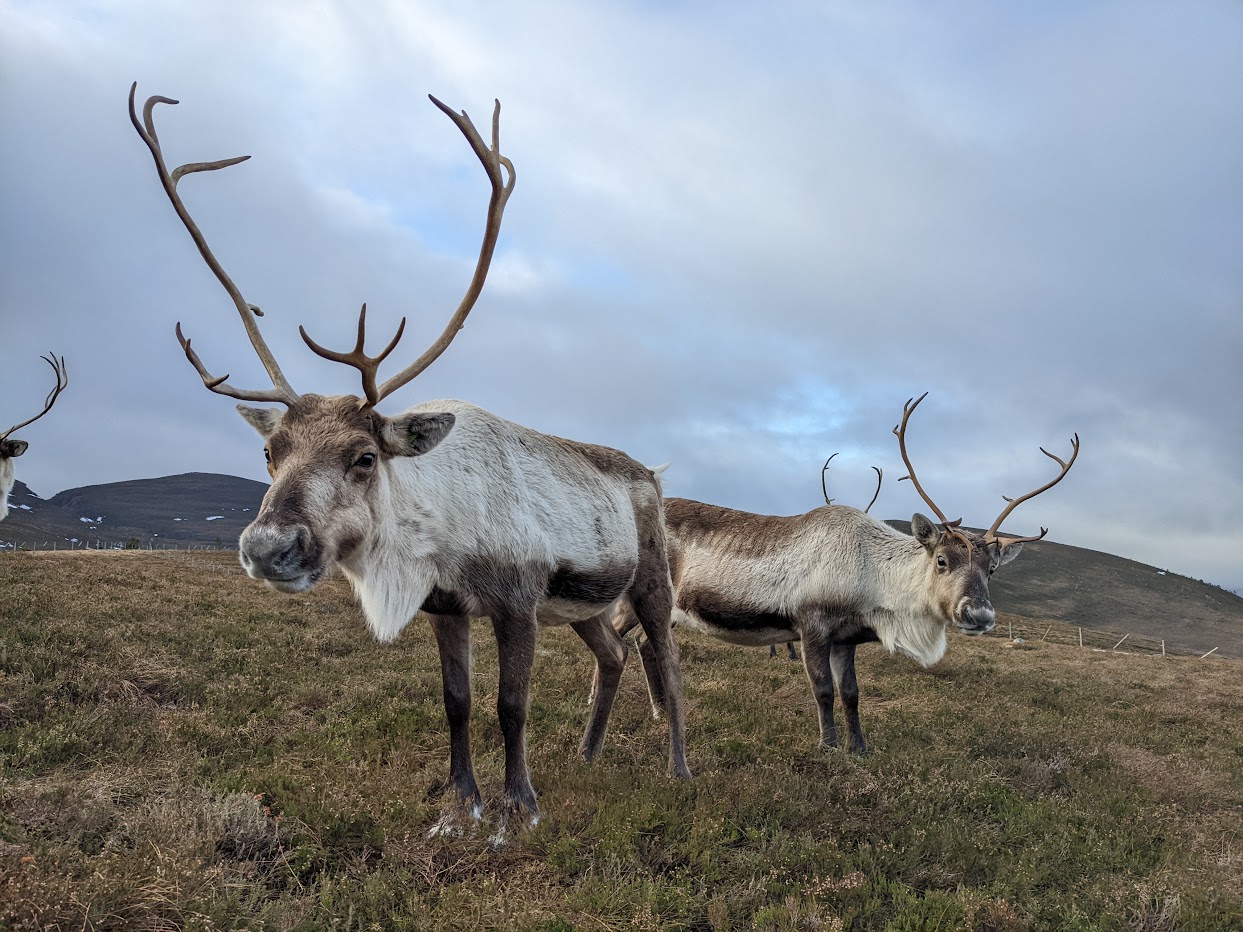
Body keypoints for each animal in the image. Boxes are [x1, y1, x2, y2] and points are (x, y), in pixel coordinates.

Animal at [128, 83, 690, 835]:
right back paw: (587, 753)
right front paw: (463, 797)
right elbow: (457, 703)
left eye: (365, 456)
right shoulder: (446, 607)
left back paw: (679, 769)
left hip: (650, 577)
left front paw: (520, 804)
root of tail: (650, 473)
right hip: (583, 603)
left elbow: (511, 705)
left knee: (663, 657)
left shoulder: (517, 602)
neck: (436, 536)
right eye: (269, 450)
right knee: (614, 652)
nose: (268, 547)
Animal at [616, 393, 1077, 753]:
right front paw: (827, 745)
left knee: (643, 644)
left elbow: (851, 694)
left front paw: (859, 747)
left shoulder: (845, 639)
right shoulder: (812, 626)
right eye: (942, 560)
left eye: (992, 568)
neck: (871, 572)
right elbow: (823, 690)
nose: (979, 615)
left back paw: (660, 709)